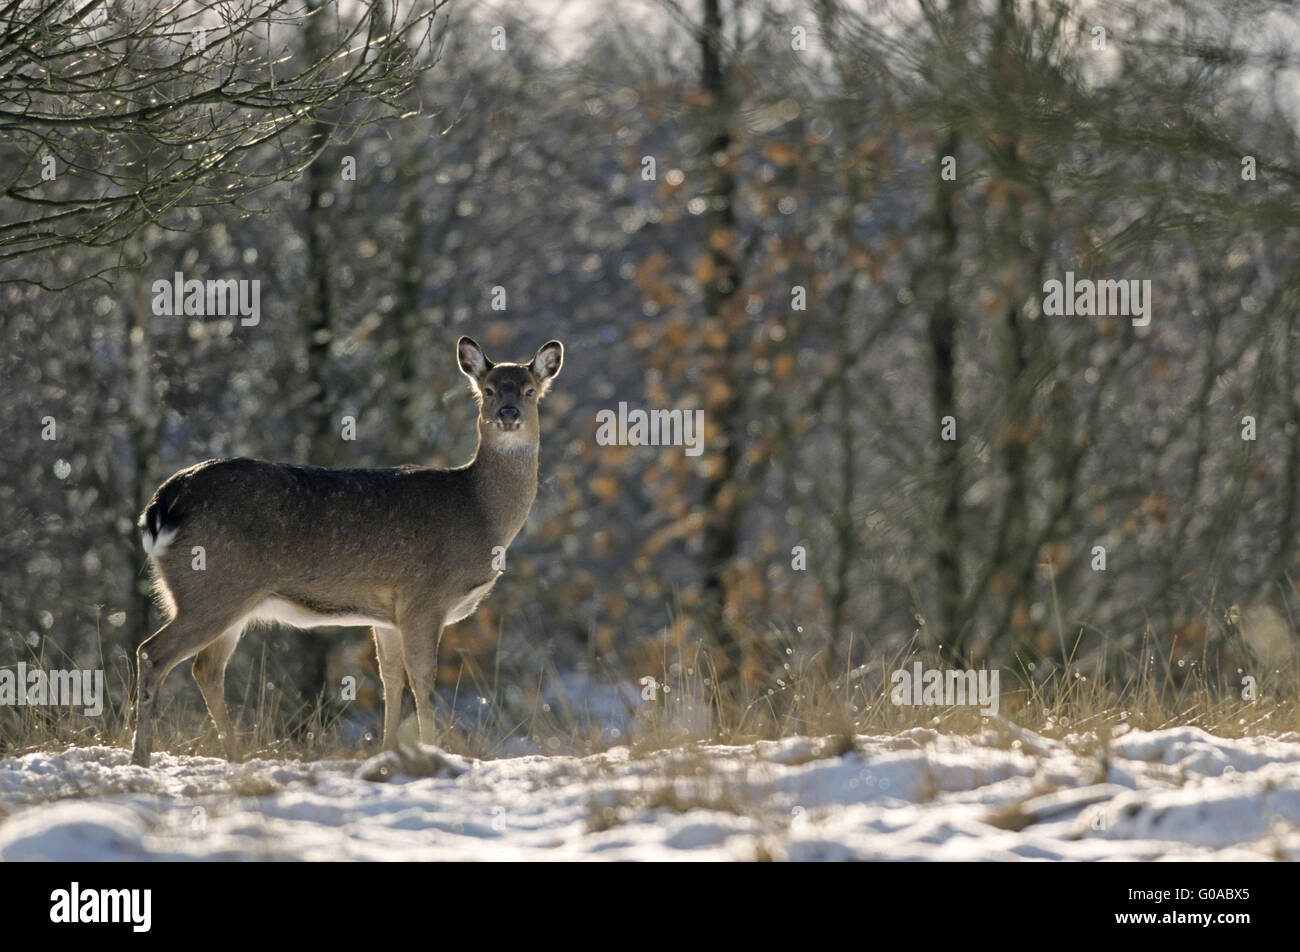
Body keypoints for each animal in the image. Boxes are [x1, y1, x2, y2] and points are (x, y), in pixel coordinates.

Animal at [130, 336, 563, 767]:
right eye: (487, 390)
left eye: (529, 391)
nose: (508, 414)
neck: (480, 513)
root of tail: (162, 505)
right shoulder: (424, 598)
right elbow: (423, 682)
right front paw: (433, 750)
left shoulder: (389, 613)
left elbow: (391, 680)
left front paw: (389, 751)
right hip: (214, 586)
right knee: (153, 653)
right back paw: (141, 756)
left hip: (225, 599)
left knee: (205, 669)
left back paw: (233, 755)